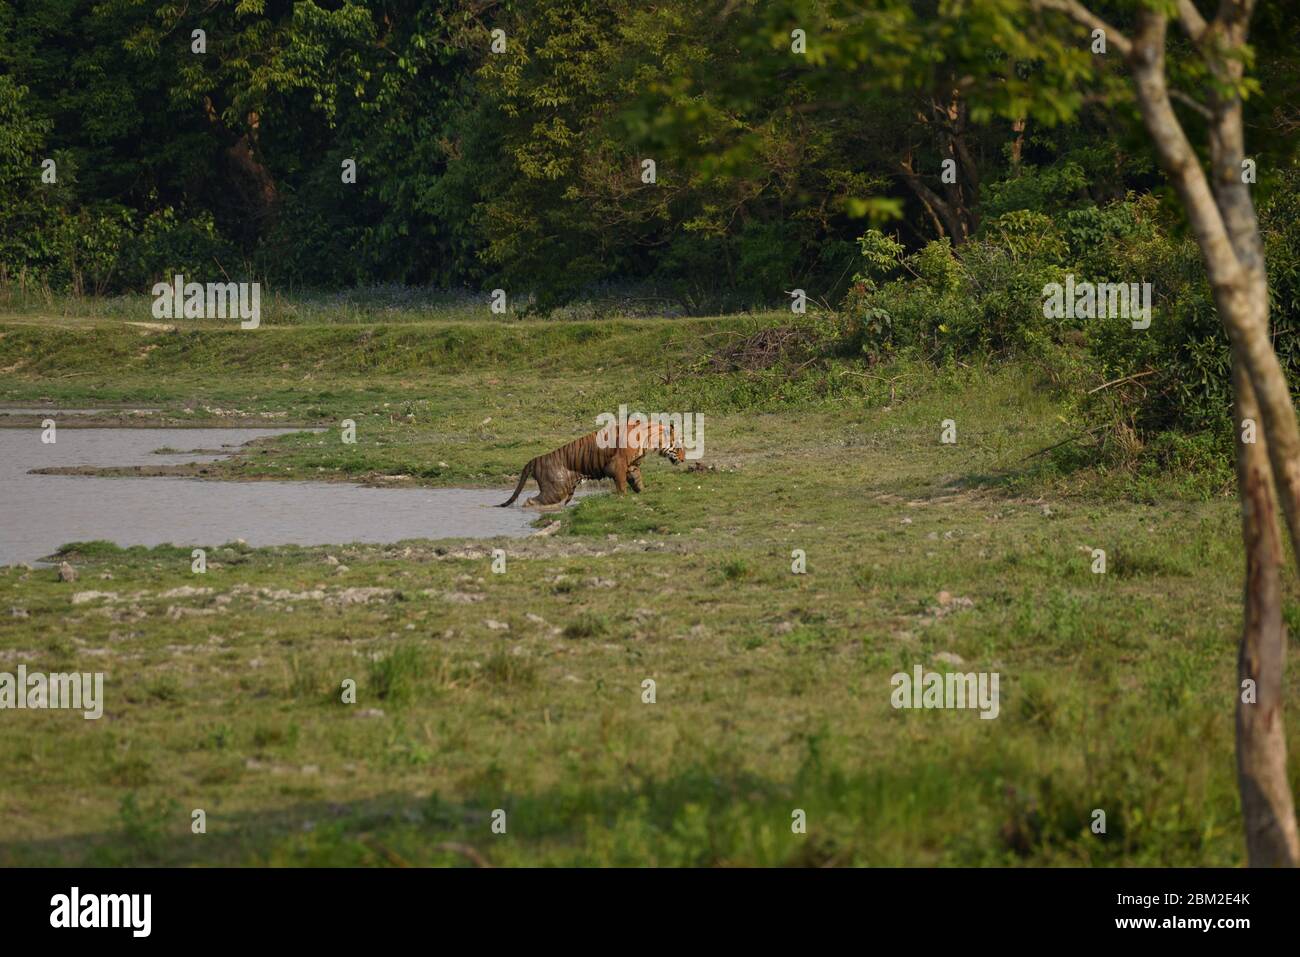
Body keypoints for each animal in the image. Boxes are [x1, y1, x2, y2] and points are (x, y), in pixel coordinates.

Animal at [498, 418, 685, 508]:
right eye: (679, 447)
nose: (684, 459)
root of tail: (536, 459)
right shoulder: (618, 465)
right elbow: (622, 486)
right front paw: (623, 498)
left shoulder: (632, 466)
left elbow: (638, 481)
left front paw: (643, 492)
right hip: (555, 490)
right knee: (530, 501)